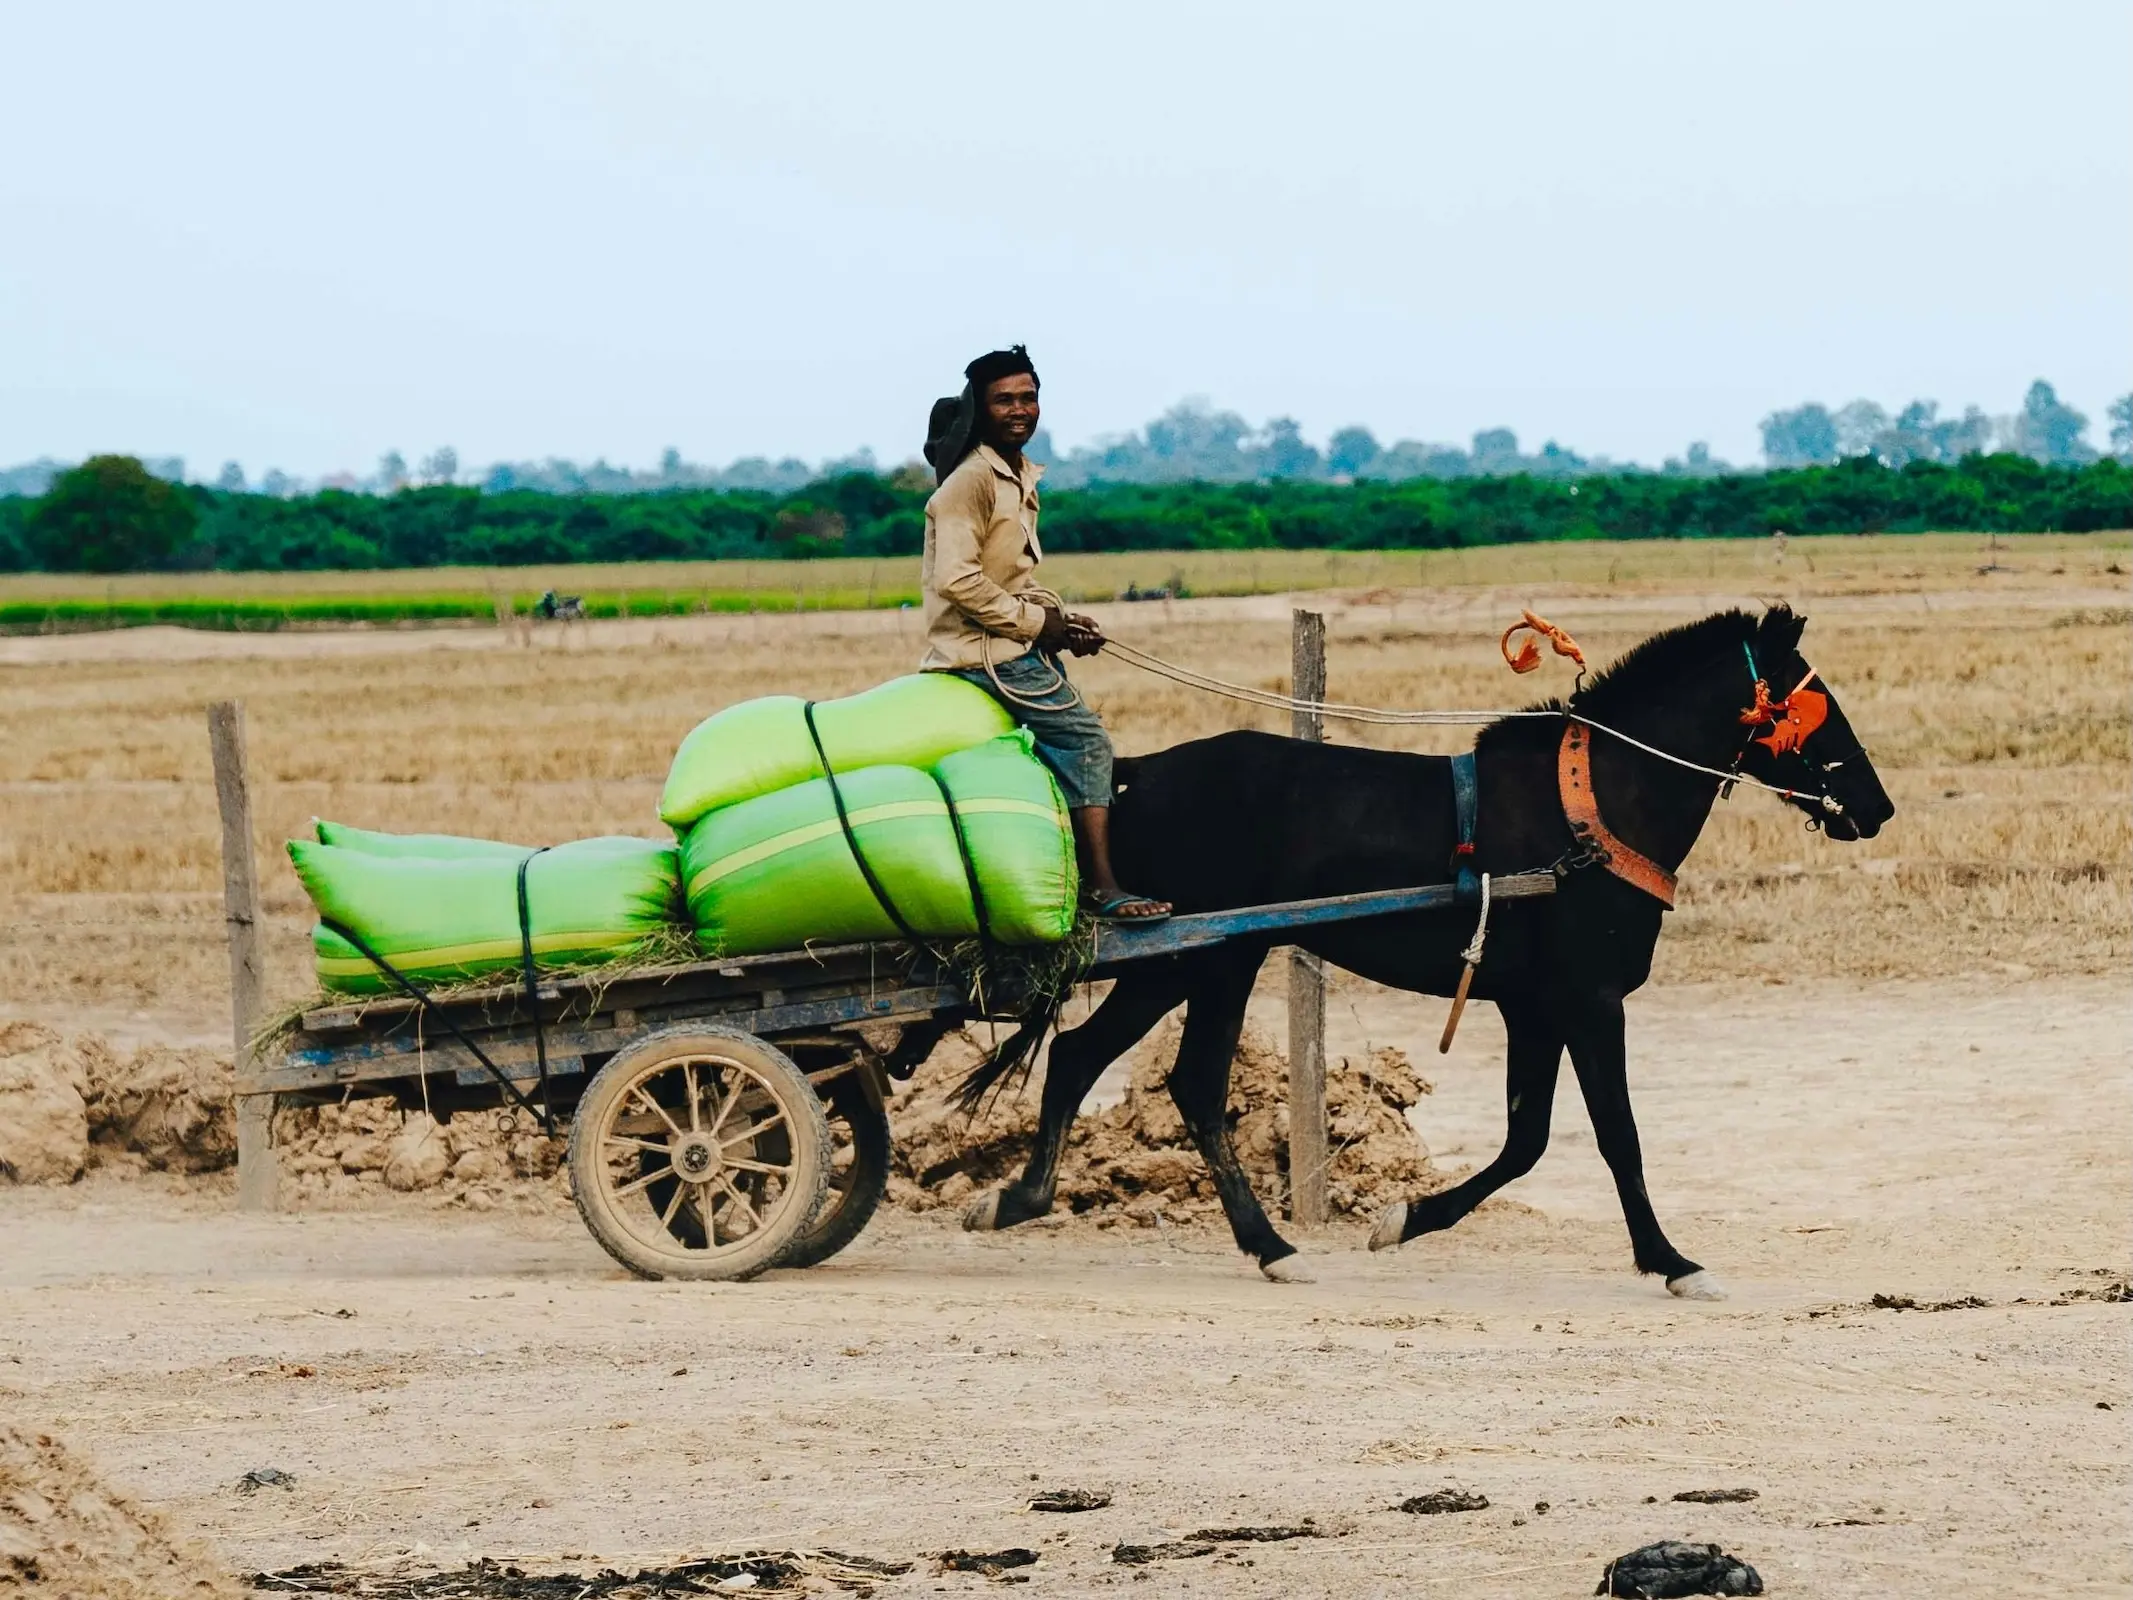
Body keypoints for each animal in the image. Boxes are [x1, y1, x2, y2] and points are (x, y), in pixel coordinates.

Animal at [956, 604, 1895, 1298]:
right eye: (1814, 704)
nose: (1875, 805)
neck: (1590, 808)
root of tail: (1134, 775)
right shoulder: (1590, 999)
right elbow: (1615, 1137)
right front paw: (1670, 1260)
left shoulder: (1532, 1005)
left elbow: (1527, 1140)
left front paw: (1406, 1220)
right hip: (1204, 960)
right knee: (1166, 1077)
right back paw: (1257, 1242)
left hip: (1189, 960)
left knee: (1096, 1061)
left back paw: (1034, 1201)